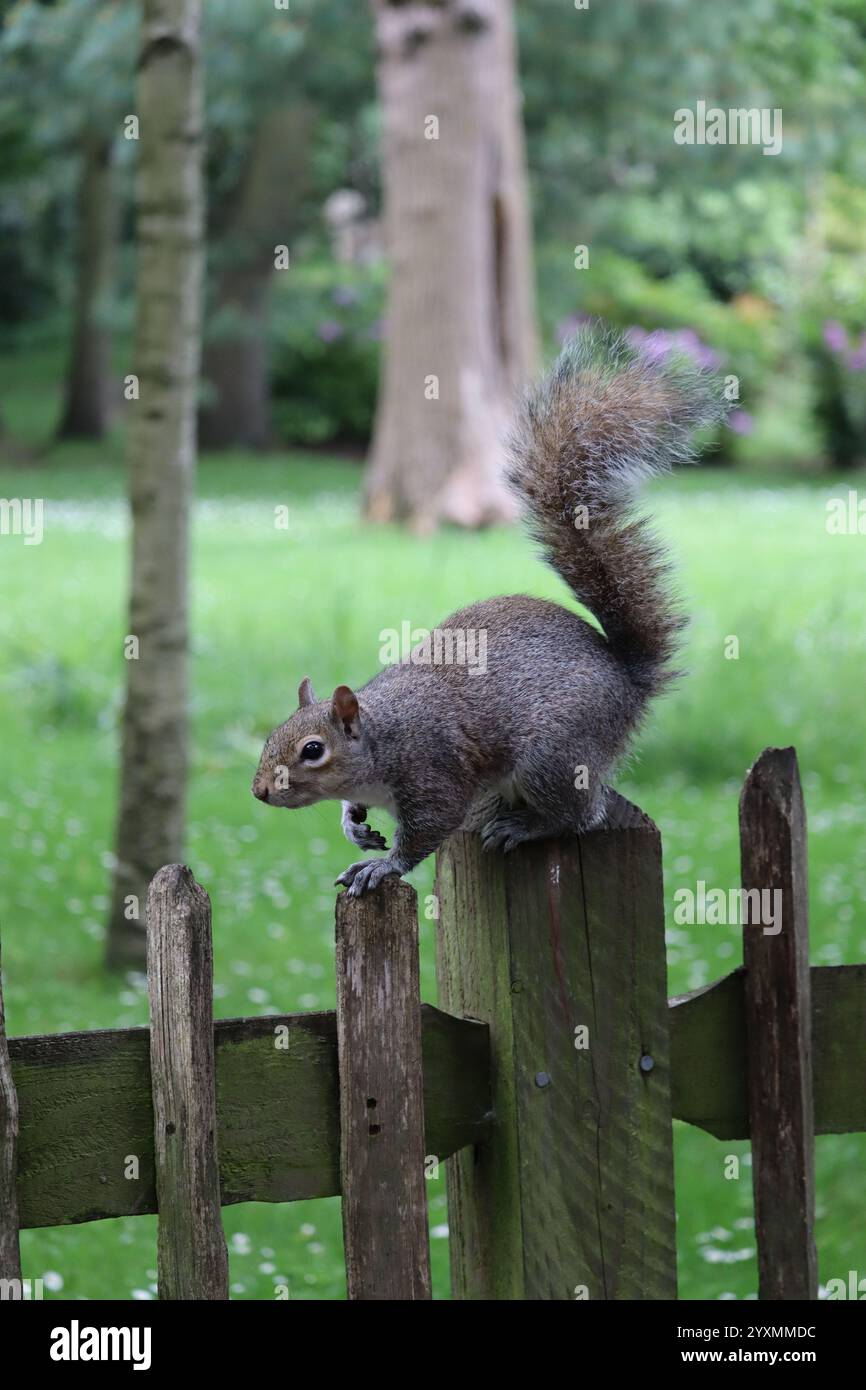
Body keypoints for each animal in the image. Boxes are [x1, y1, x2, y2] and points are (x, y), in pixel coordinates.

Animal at [252, 325, 725, 895]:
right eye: (274, 734)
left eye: (312, 750)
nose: (258, 791)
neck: (380, 738)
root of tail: (628, 681)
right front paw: (354, 825)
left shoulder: (433, 774)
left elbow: (429, 829)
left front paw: (383, 866)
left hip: (552, 757)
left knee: (580, 815)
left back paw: (525, 826)